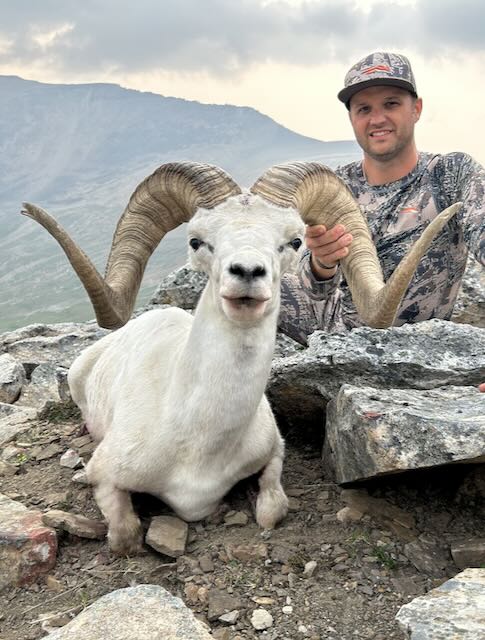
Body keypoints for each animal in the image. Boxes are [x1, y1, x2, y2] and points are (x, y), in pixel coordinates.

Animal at [22, 161, 460, 554]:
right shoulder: (108, 476)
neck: (197, 441)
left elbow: (272, 509)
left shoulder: (274, 455)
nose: (247, 273)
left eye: (295, 241)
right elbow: (124, 538)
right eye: (197, 241)